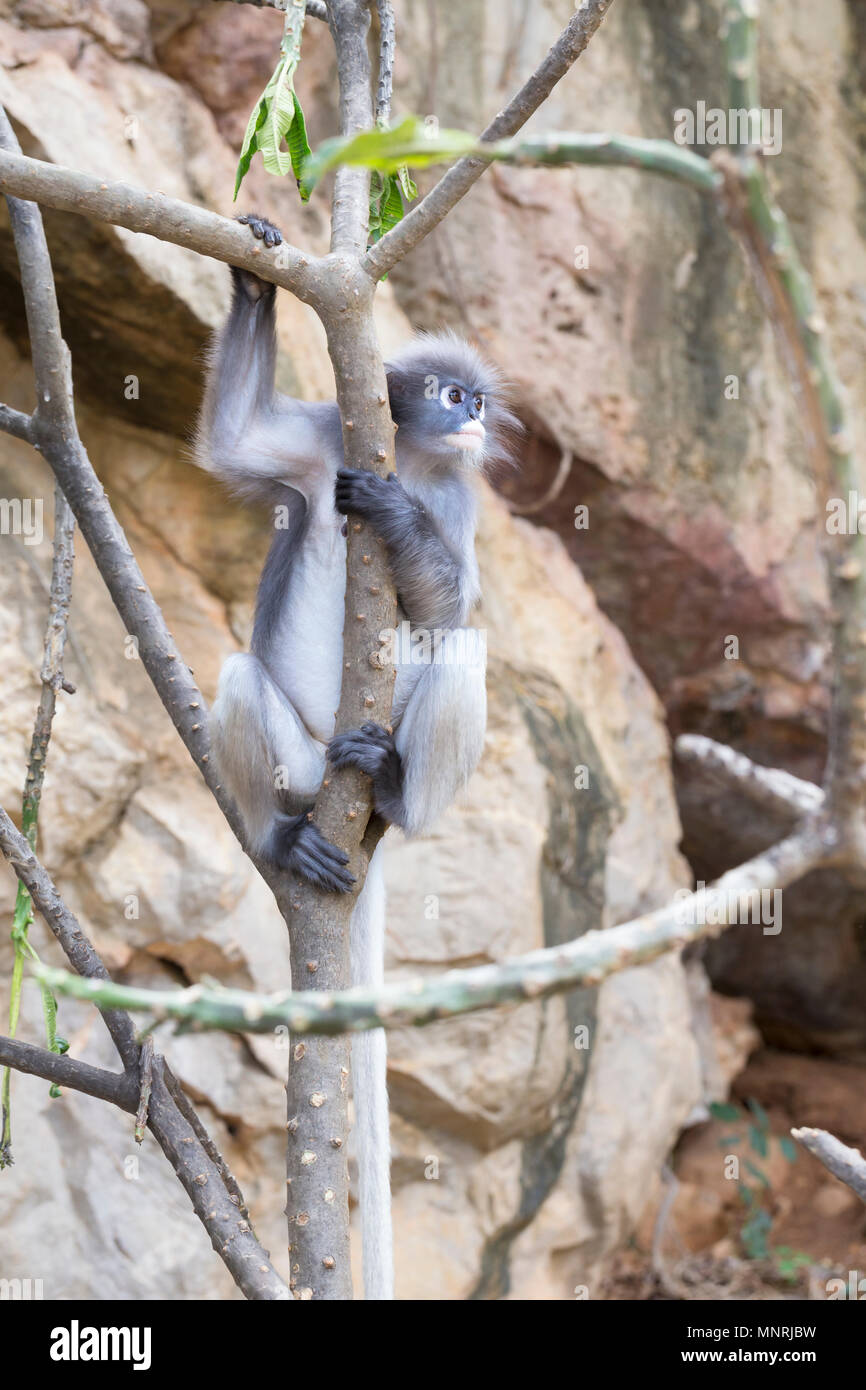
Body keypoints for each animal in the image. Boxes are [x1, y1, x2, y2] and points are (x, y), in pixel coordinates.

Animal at [195, 214, 520, 1300]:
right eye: (451, 394)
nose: (474, 414)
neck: (412, 458)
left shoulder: (457, 502)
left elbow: (450, 610)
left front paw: (389, 513)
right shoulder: (318, 442)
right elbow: (234, 446)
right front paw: (258, 273)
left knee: (463, 650)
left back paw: (392, 786)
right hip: (300, 752)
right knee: (241, 677)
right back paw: (284, 837)